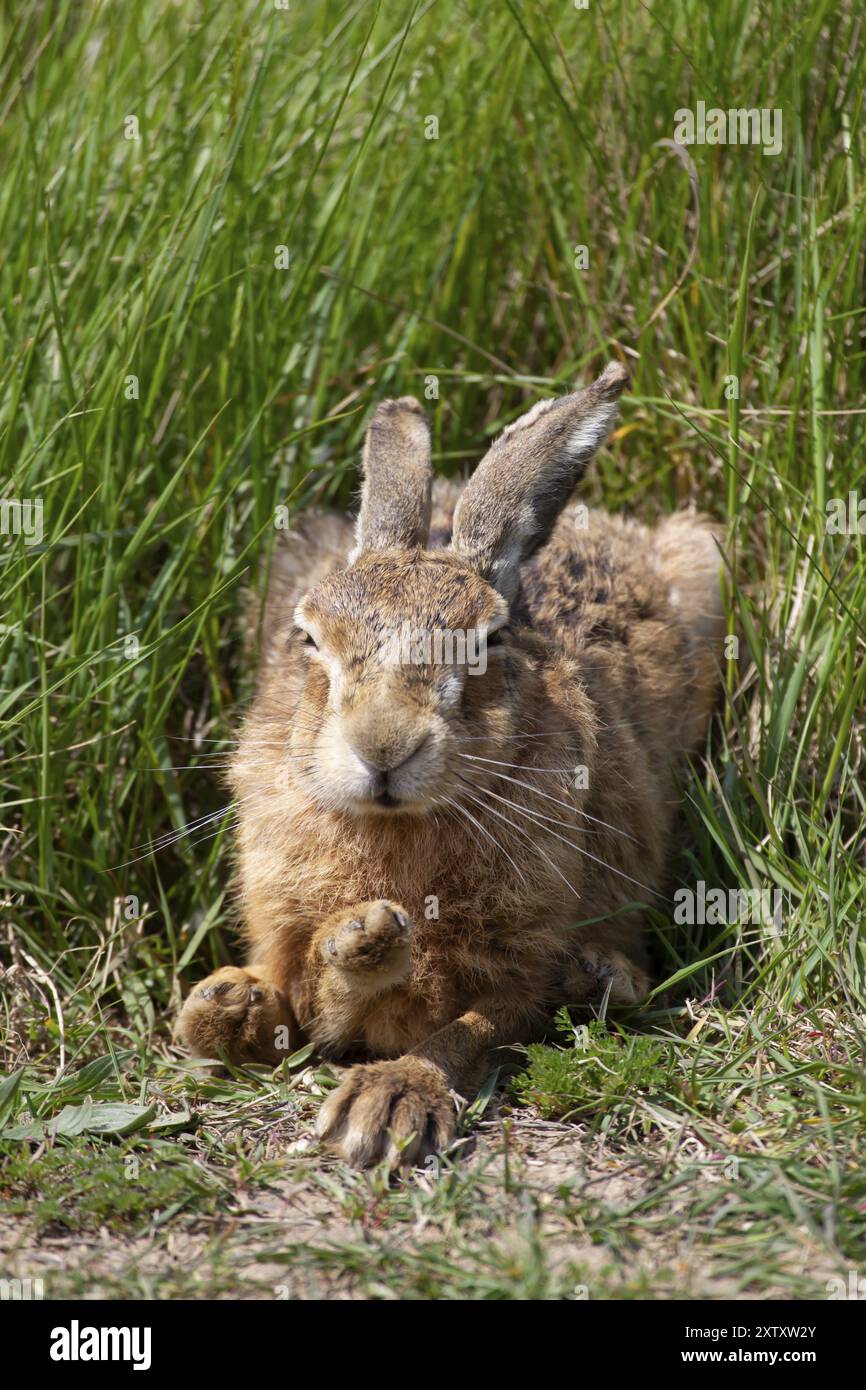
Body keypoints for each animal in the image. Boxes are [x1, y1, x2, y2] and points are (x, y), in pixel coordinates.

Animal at [177, 361, 724, 1169]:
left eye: (490, 641)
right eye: (309, 639)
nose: (382, 746)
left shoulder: (520, 967)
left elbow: (467, 1031)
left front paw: (386, 1099)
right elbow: (299, 994)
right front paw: (246, 997)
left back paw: (603, 977)